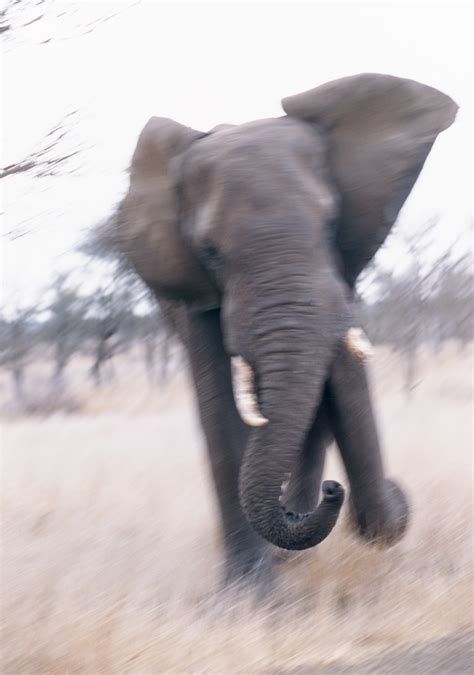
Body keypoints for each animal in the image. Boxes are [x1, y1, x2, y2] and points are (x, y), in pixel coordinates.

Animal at [115, 73, 457, 586]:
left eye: (332, 224)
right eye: (209, 251)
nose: (335, 490)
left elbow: (335, 390)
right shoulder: (191, 290)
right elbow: (218, 406)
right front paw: (248, 594)